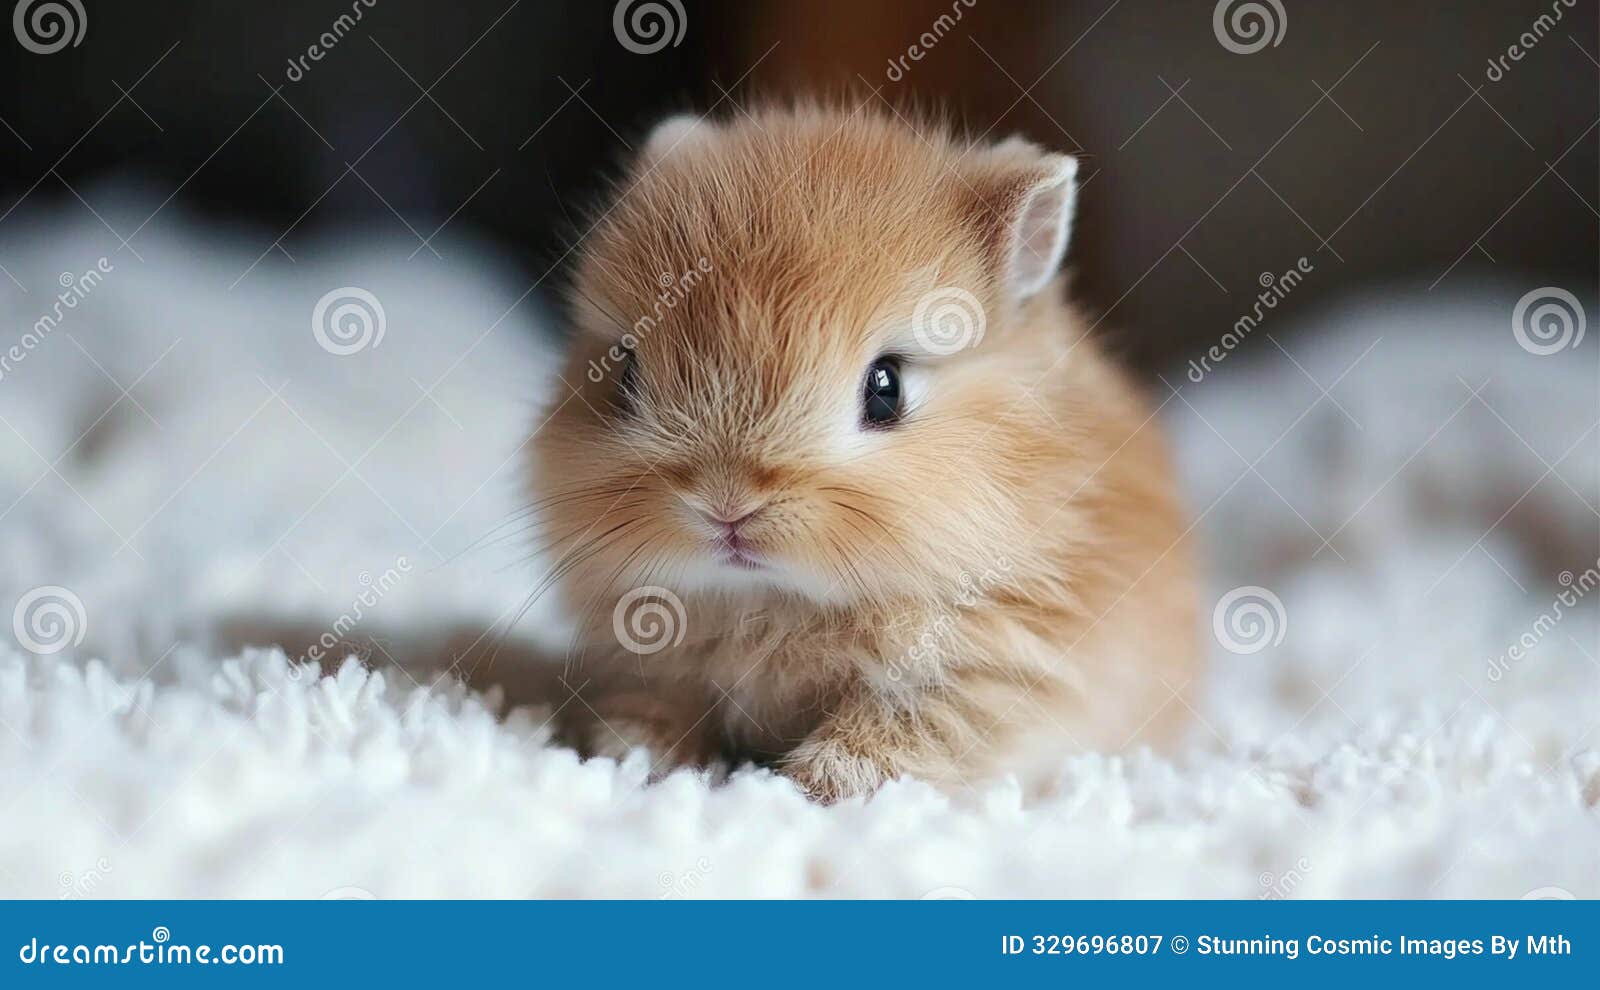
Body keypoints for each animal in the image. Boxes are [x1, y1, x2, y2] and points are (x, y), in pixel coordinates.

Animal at [530, 103, 1200, 801]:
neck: (774, 602)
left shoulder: (989, 675)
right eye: (626, 374)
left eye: (885, 388)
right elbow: (658, 707)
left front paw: (809, 789)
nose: (728, 508)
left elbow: (895, 735)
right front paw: (638, 760)